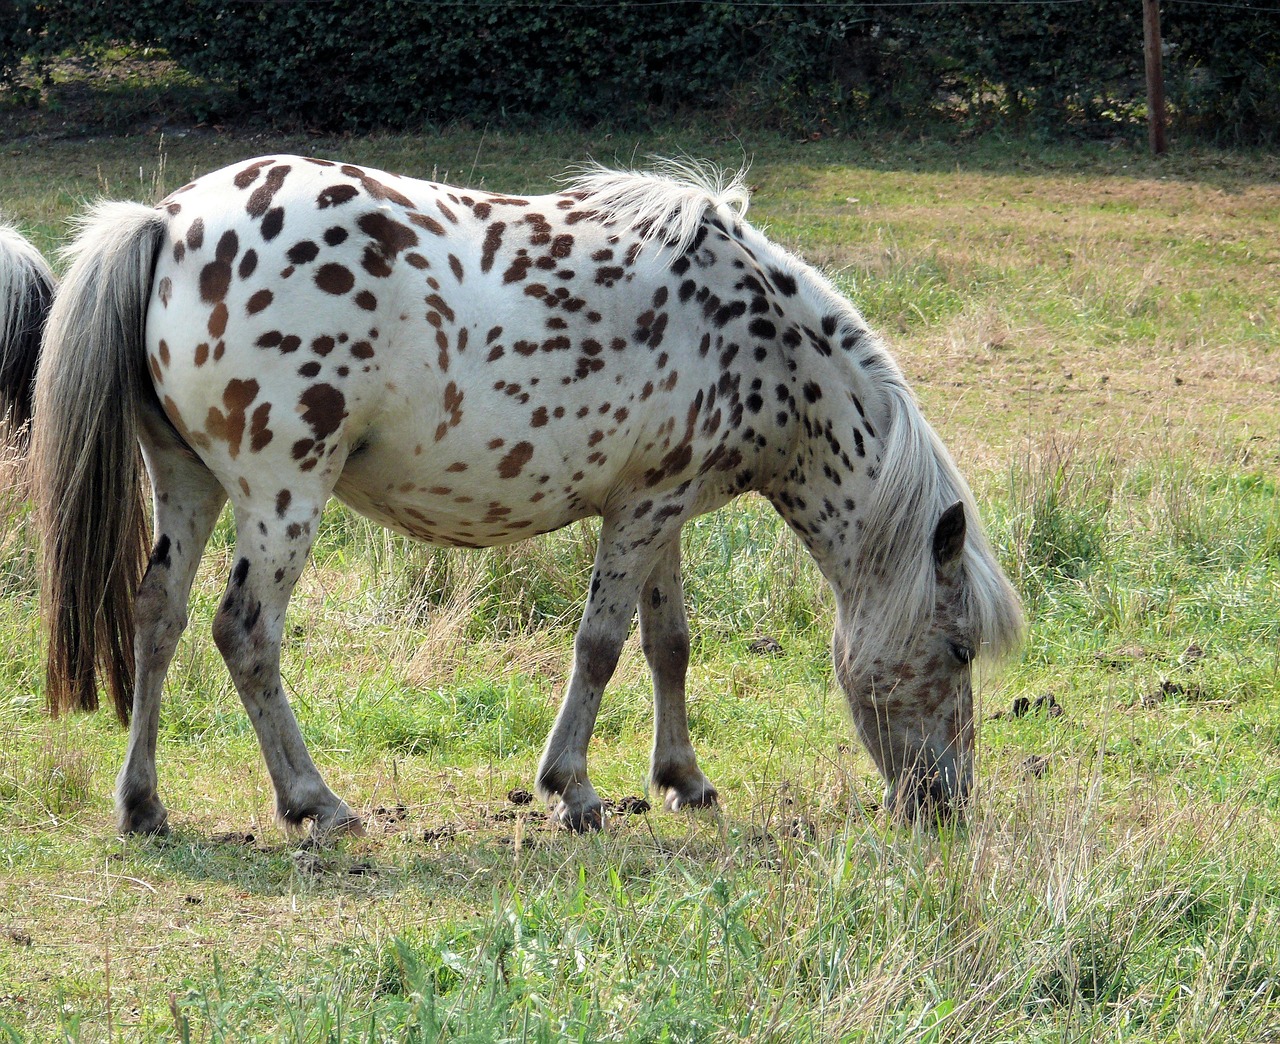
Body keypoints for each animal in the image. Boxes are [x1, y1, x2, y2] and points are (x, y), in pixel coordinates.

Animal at [29, 156, 1023, 839]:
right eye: (959, 649)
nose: (946, 804)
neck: (762, 338)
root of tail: (167, 220)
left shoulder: (659, 510)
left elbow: (668, 645)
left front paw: (684, 780)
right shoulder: (640, 515)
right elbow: (601, 648)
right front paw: (573, 790)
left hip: (186, 484)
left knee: (157, 615)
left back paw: (143, 803)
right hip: (283, 494)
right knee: (245, 634)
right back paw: (315, 801)